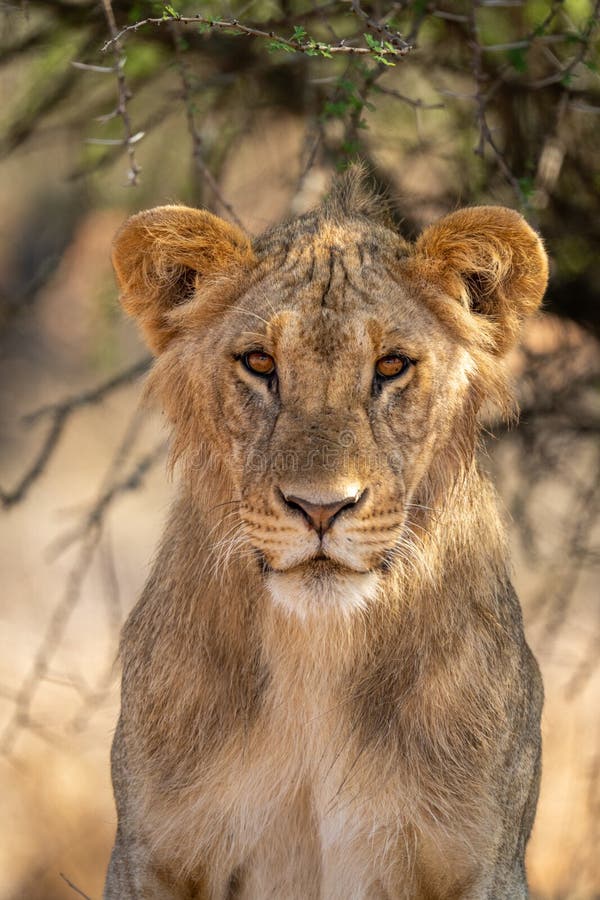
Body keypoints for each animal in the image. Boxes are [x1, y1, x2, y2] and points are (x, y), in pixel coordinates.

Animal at [104, 168, 547, 899]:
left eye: (392, 366)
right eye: (259, 362)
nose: (319, 508)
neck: (318, 652)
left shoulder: (481, 862)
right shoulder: (153, 857)